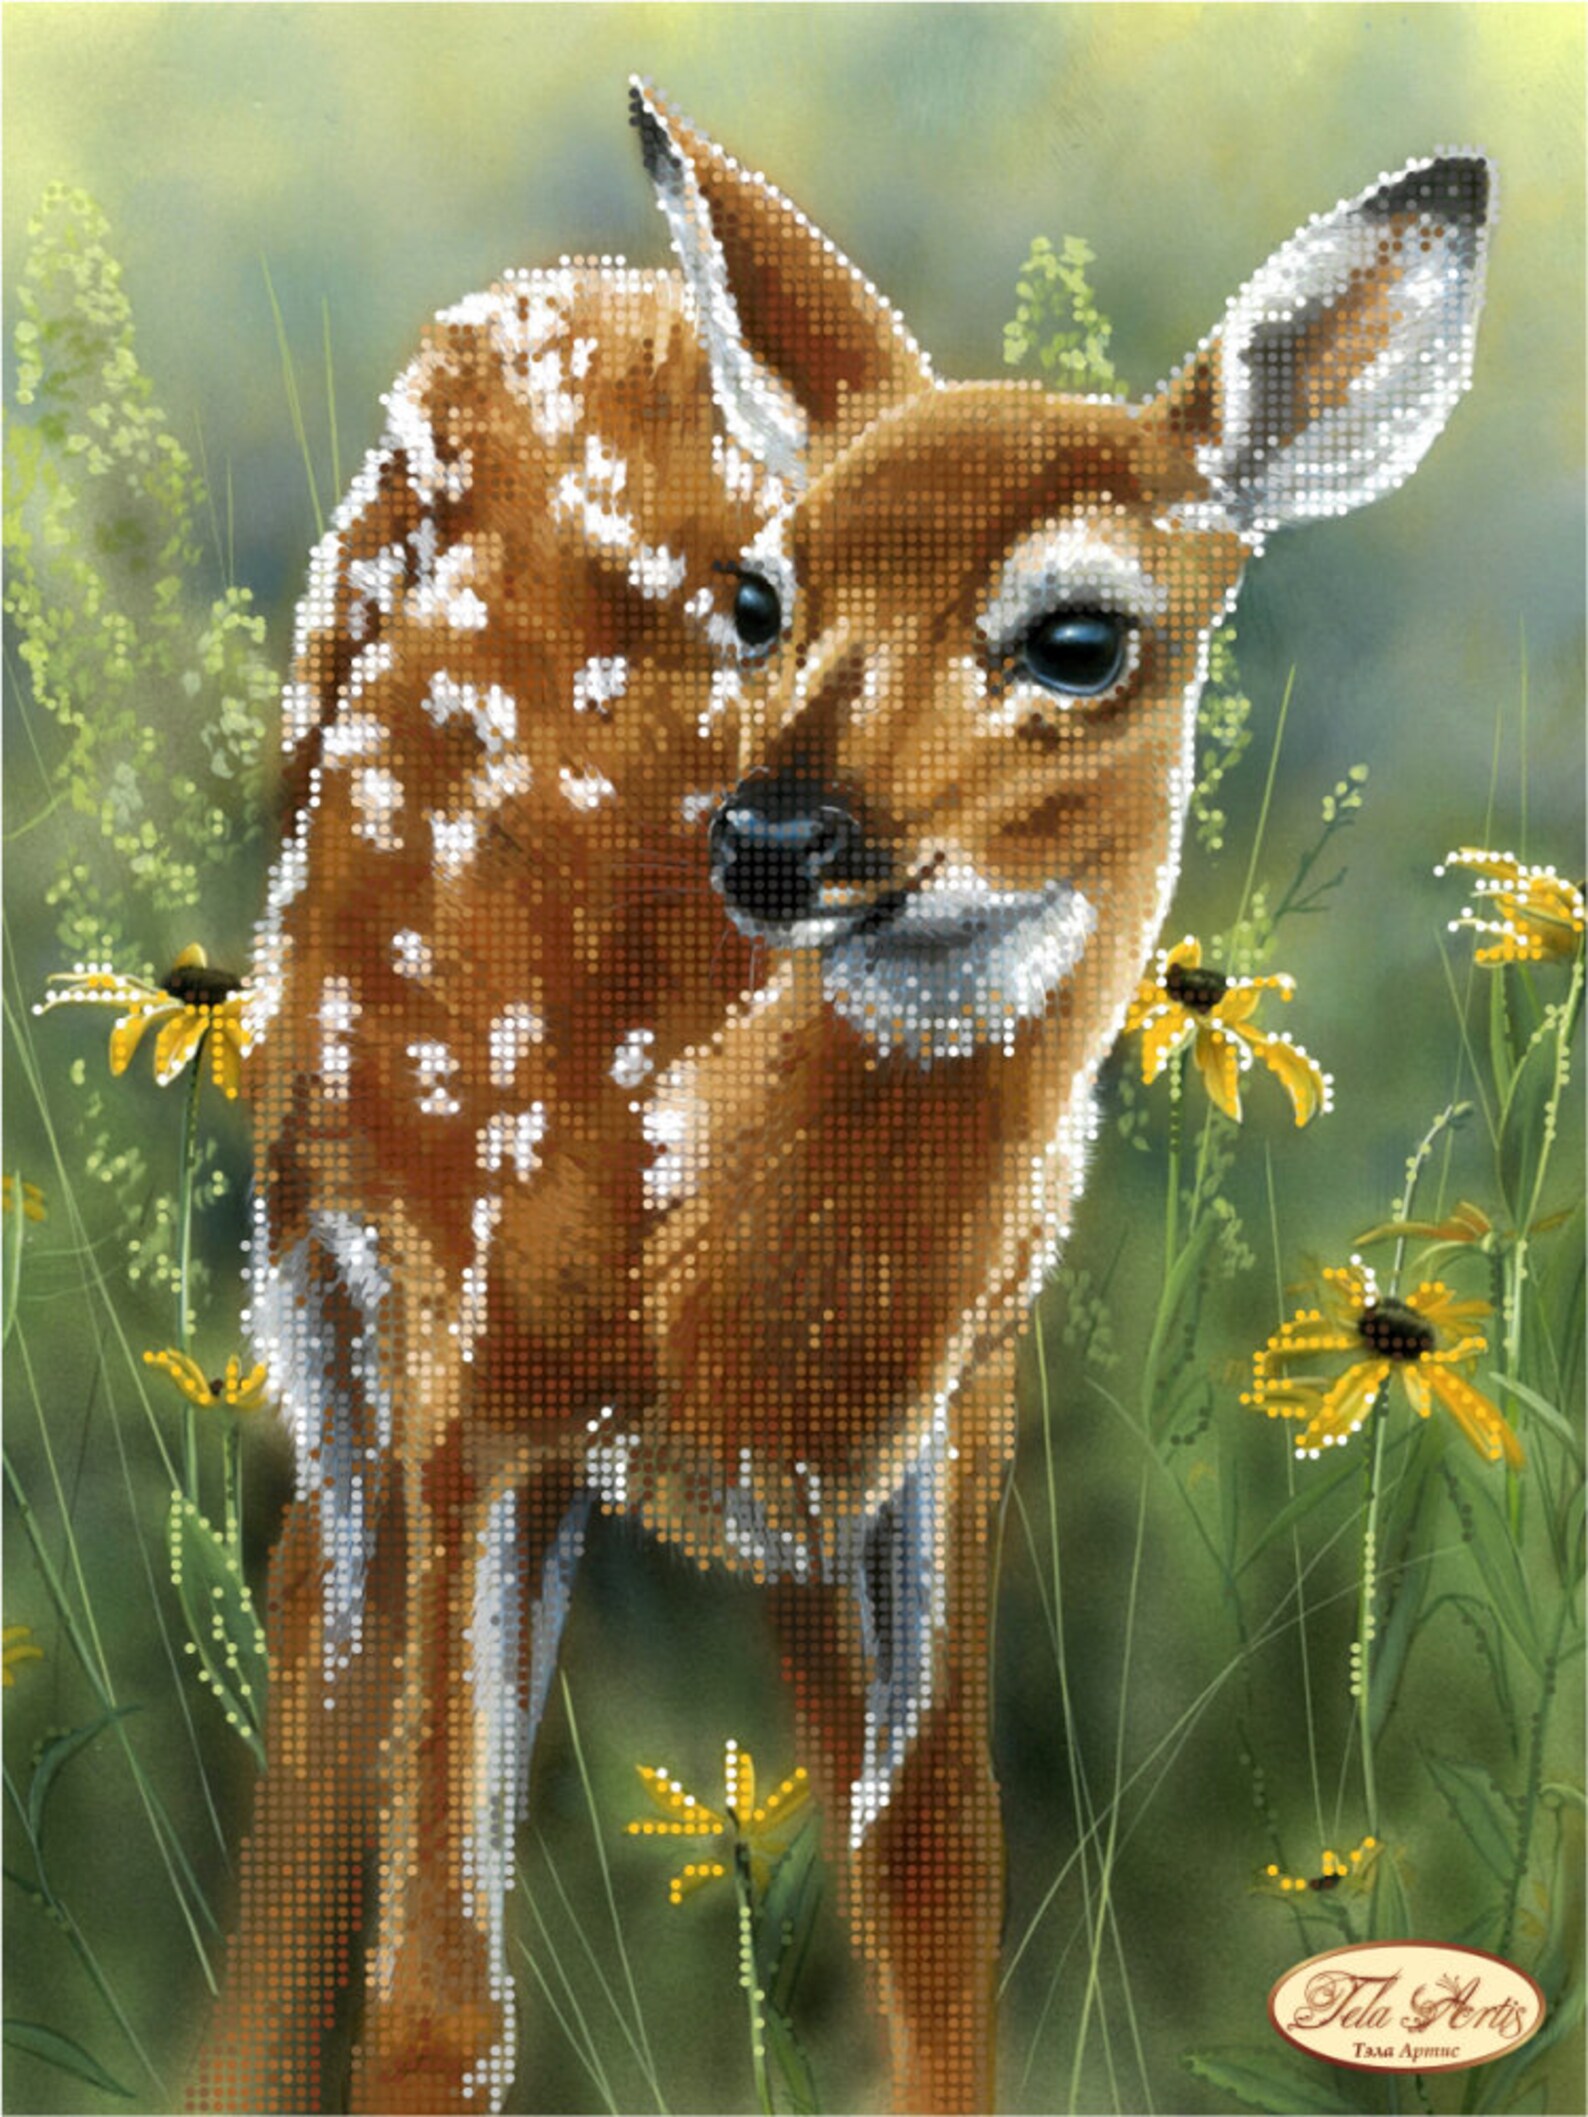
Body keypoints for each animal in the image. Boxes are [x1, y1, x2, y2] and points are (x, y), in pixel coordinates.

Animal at [193, 80, 1490, 2115]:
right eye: (761, 596)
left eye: (1079, 636)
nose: (774, 836)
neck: (695, 1210)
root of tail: (576, 277)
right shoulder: (477, 1371)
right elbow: (437, 2003)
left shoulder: (940, 1422)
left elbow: (939, 1888)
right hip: (319, 1238)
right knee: (324, 1626)